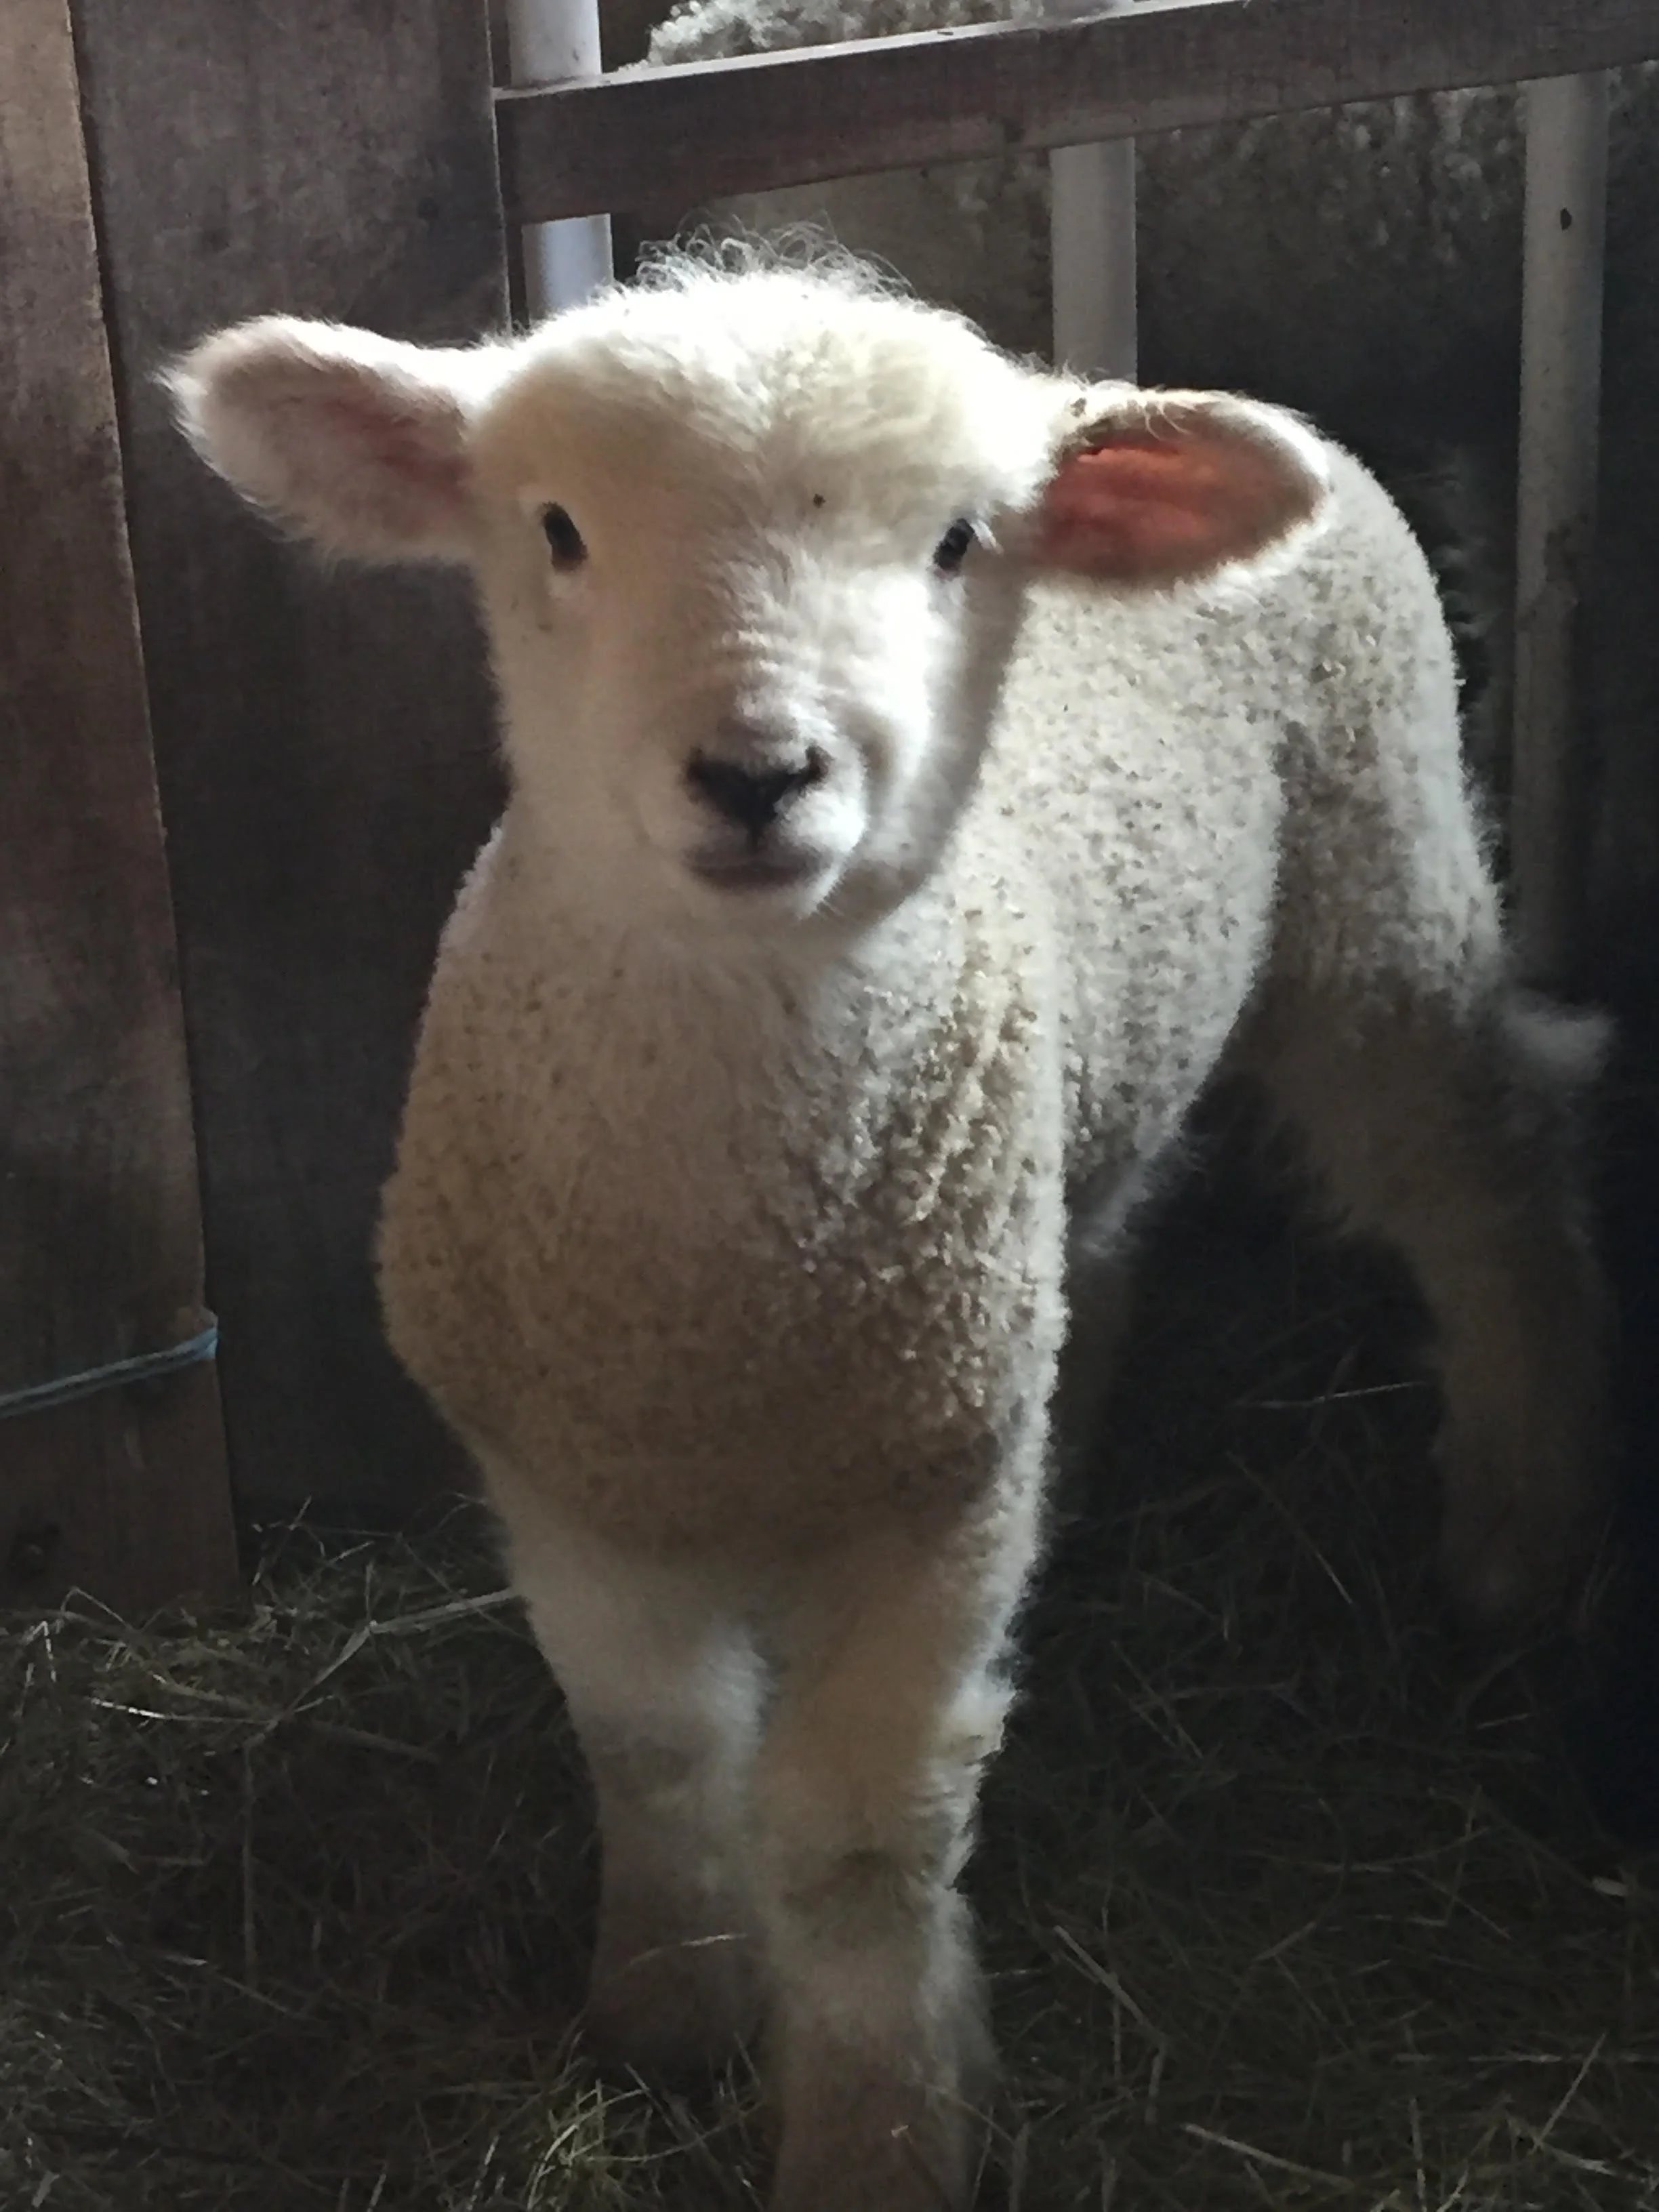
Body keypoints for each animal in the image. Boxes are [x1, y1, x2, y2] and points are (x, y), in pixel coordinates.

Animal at [170, 251, 1608, 2212]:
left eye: (956, 541)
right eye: (555, 530)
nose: (758, 769)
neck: (715, 1286)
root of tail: (1130, 377)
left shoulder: (929, 1507)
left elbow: (861, 1851)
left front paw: (880, 2134)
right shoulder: (568, 1477)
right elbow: (659, 1751)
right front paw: (668, 2009)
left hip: (1381, 879)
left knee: (1481, 1172)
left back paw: (1516, 1535)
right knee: (1115, 1239)